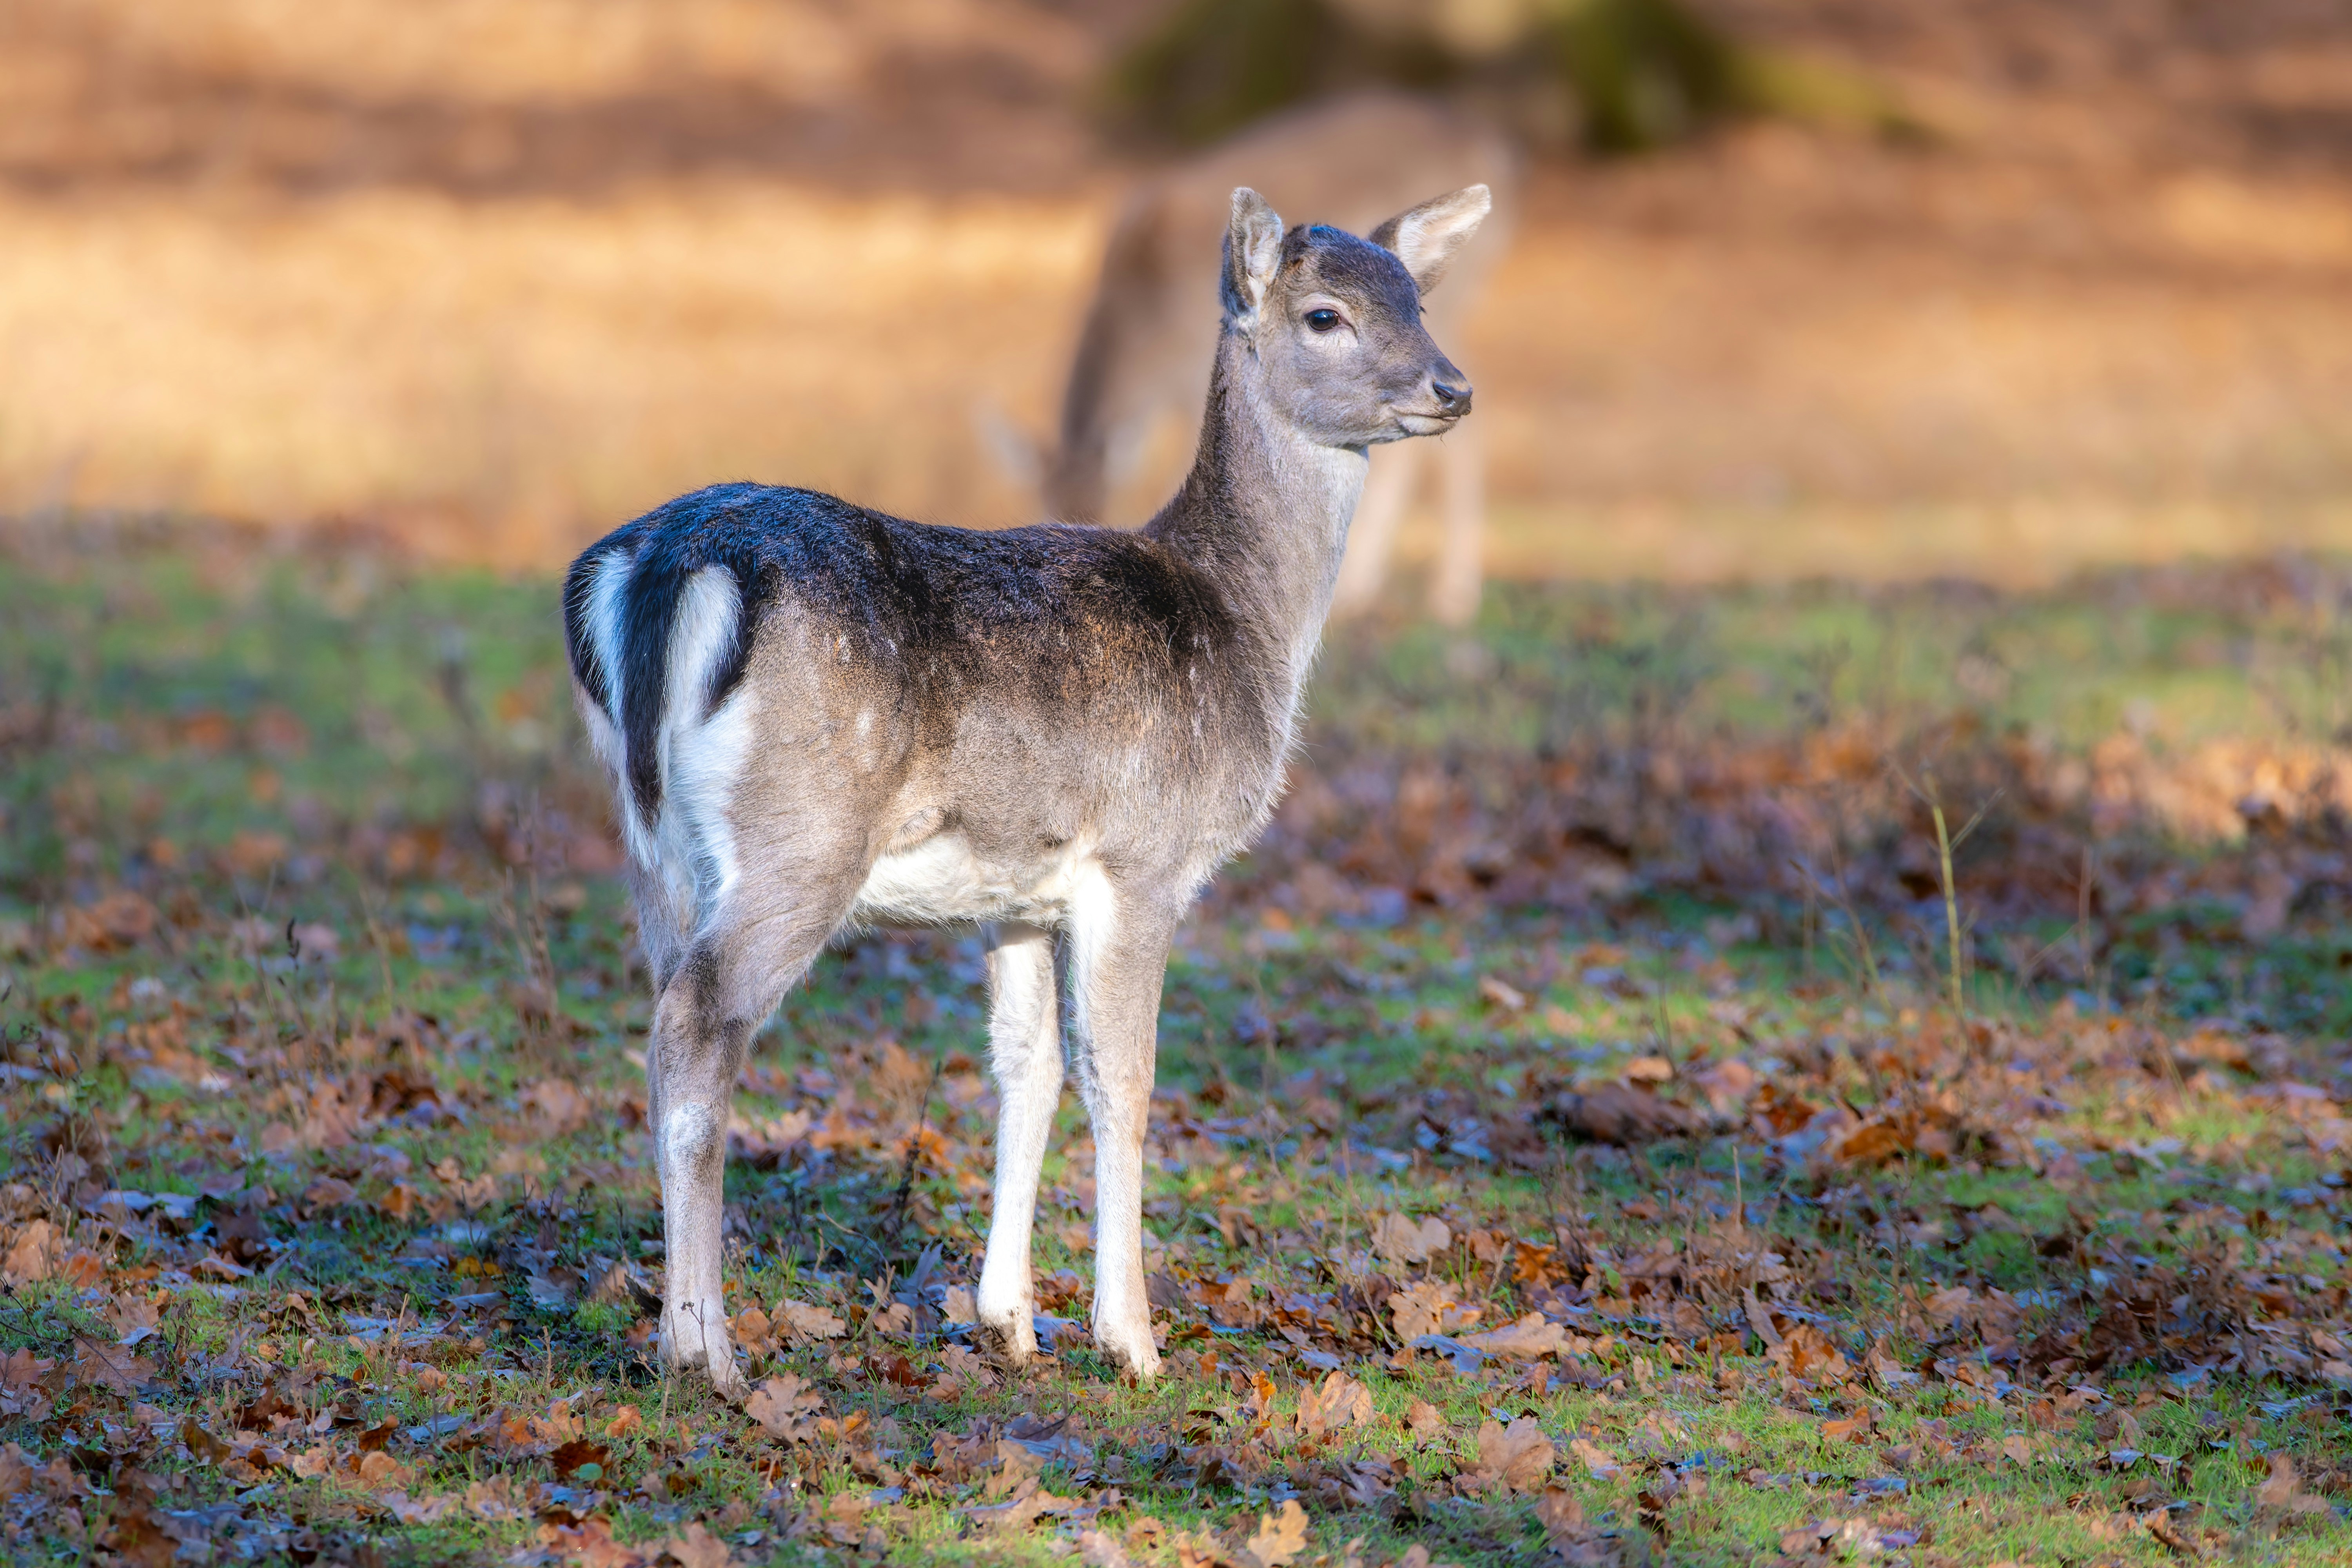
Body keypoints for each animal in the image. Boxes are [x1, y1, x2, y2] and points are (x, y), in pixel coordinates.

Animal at [563, 181, 1489, 1395]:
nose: (1451, 386)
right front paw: (1132, 1339)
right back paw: (704, 1349)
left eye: (1416, 296)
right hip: (800, 837)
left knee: (663, 1017)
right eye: (1325, 313)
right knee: (700, 1028)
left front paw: (1007, 1318)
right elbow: (1122, 1078)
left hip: (653, 847)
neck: (1246, 630)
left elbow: (1028, 1069)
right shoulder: (1144, 860)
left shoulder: (1010, 891)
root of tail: (663, 570)